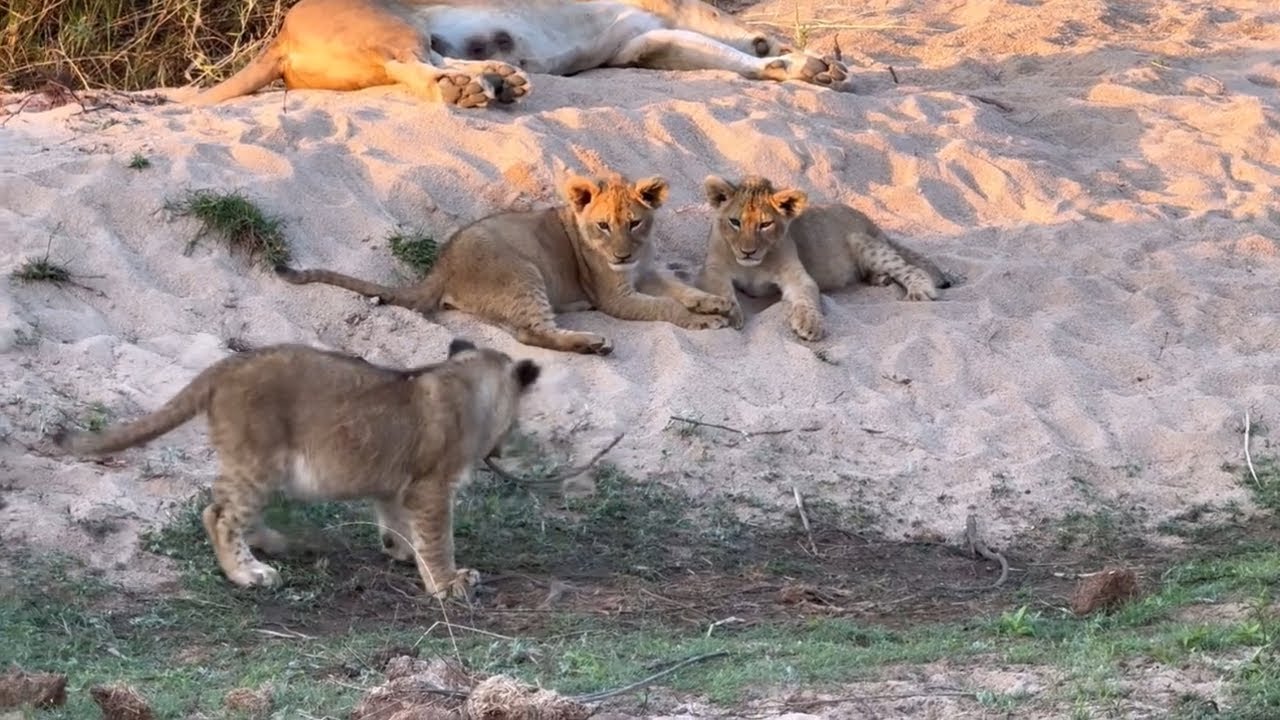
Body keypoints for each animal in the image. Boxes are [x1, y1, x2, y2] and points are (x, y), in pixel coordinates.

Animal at [50, 338, 541, 600]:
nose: (505, 447)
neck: (468, 380)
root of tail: (228, 365)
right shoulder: (432, 485)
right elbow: (439, 538)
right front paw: (447, 583)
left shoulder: (395, 485)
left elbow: (396, 522)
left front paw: (402, 551)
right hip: (259, 462)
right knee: (218, 514)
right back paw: (249, 573)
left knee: (229, 508)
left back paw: (274, 543)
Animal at [275, 171, 734, 355]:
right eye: (602, 225)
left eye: (635, 222)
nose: (622, 255)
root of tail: (440, 266)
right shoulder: (615, 297)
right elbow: (667, 307)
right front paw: (708, 320)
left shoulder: (648, 270)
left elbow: (682, 290)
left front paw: (716, 303)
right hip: (523, 273)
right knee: (531, 333)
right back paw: (591, 343)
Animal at [696, 174, 952, 341]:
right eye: (735, 222)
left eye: (765, 224)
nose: (748, 252)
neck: (752, 267)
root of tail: (873, 224)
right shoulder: (712, 270)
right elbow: (721, 292)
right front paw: (729, 315)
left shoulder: (797, 276)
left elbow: (806, 299)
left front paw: (810, 324)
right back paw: (880, 279)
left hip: (863, 241)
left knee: (909, 268)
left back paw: (919, 290)